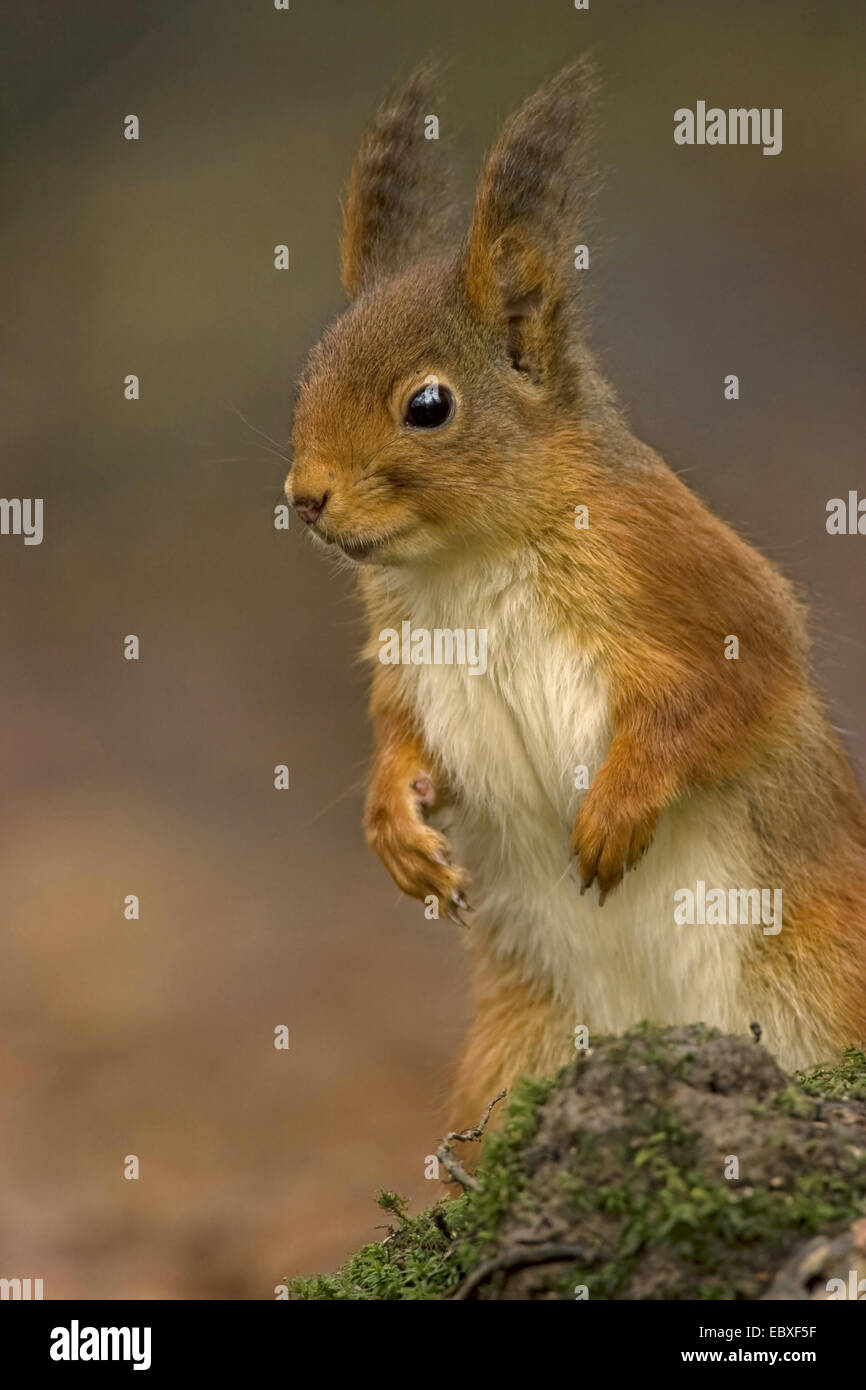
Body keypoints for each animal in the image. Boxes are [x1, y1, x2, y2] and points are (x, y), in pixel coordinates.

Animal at [287, 59, 866, 1131]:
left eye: (427, 405)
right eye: (308, 373)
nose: (304, 498)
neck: (467, 559)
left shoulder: (688, 578)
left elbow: (733, 690)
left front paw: (616, 810)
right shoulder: (405, 650)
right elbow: (400, 735)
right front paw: (398, 830)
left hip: (827, 971)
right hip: (517, 1052)